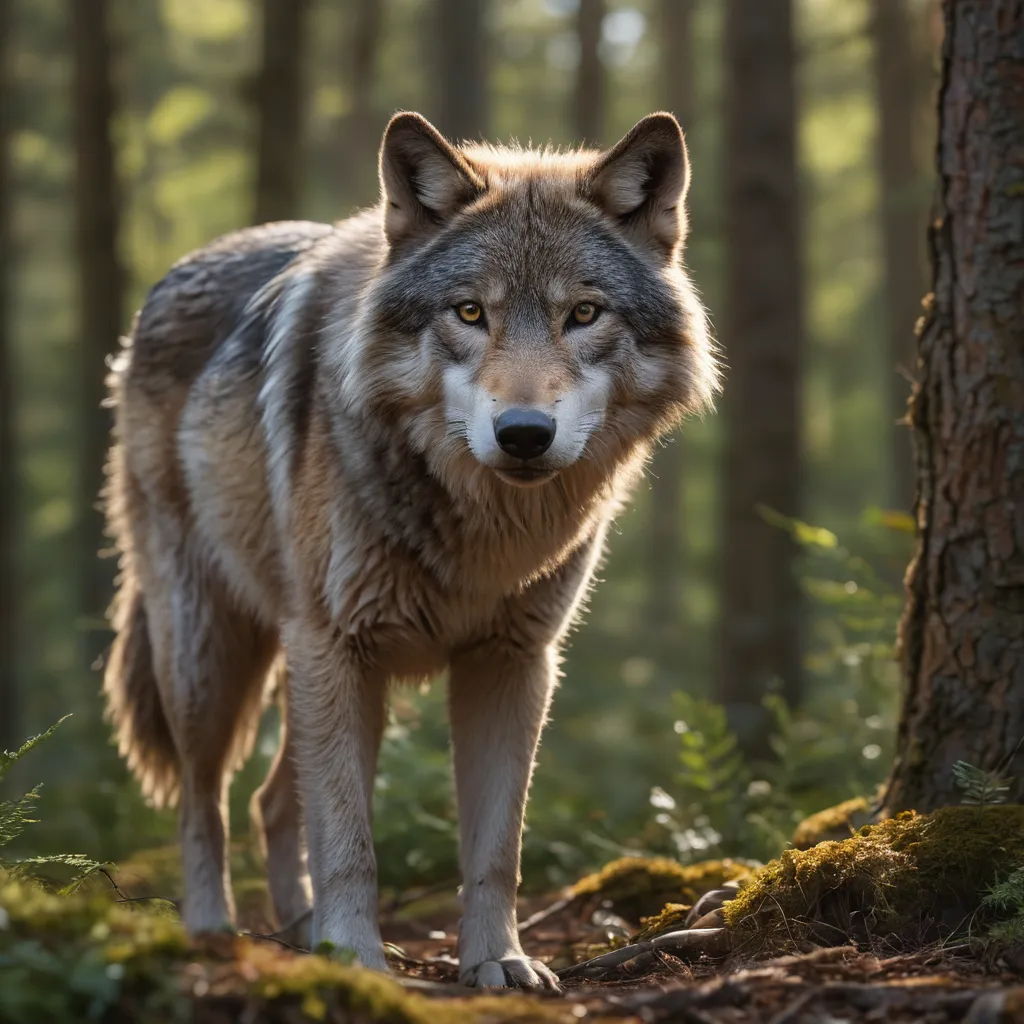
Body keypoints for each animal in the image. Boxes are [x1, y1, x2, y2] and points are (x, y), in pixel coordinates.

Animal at [101, 110, 717, 989]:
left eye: (583, 314)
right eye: (469, 313)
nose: (523, 434)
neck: (483, 530)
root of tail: (167, 280)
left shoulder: (513, 662)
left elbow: (496, 849)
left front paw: (498, 960)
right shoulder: (335, 646)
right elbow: (349, 840)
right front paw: (356, 963)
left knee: (269, 801)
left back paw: (301, 932)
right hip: (213, 657)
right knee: (203, 801)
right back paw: (215, 933)